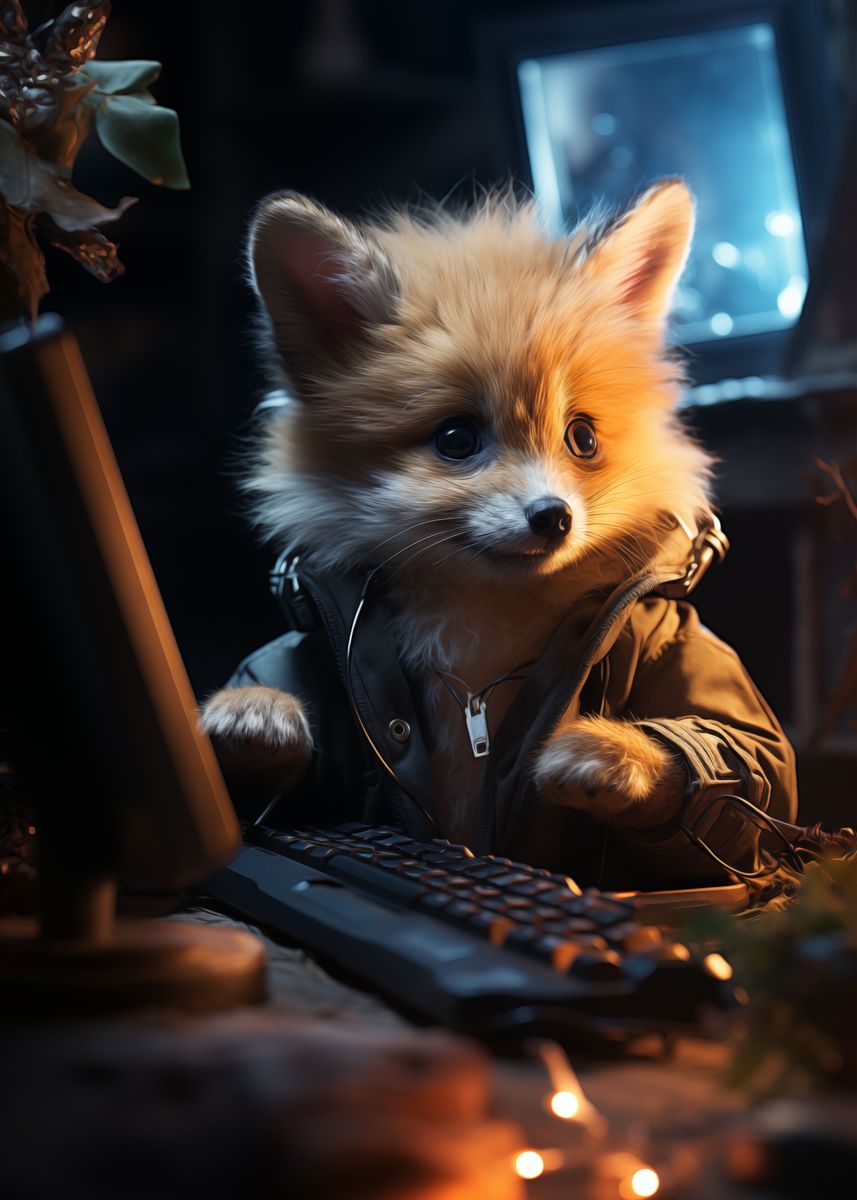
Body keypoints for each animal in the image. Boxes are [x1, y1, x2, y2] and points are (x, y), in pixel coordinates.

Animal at [200, 180, 796, 884]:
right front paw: (253, 713)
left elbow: (743, 774)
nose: (554, 516)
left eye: (582, 437)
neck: (481, 646)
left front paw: (614, 757)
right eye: (457, 439)